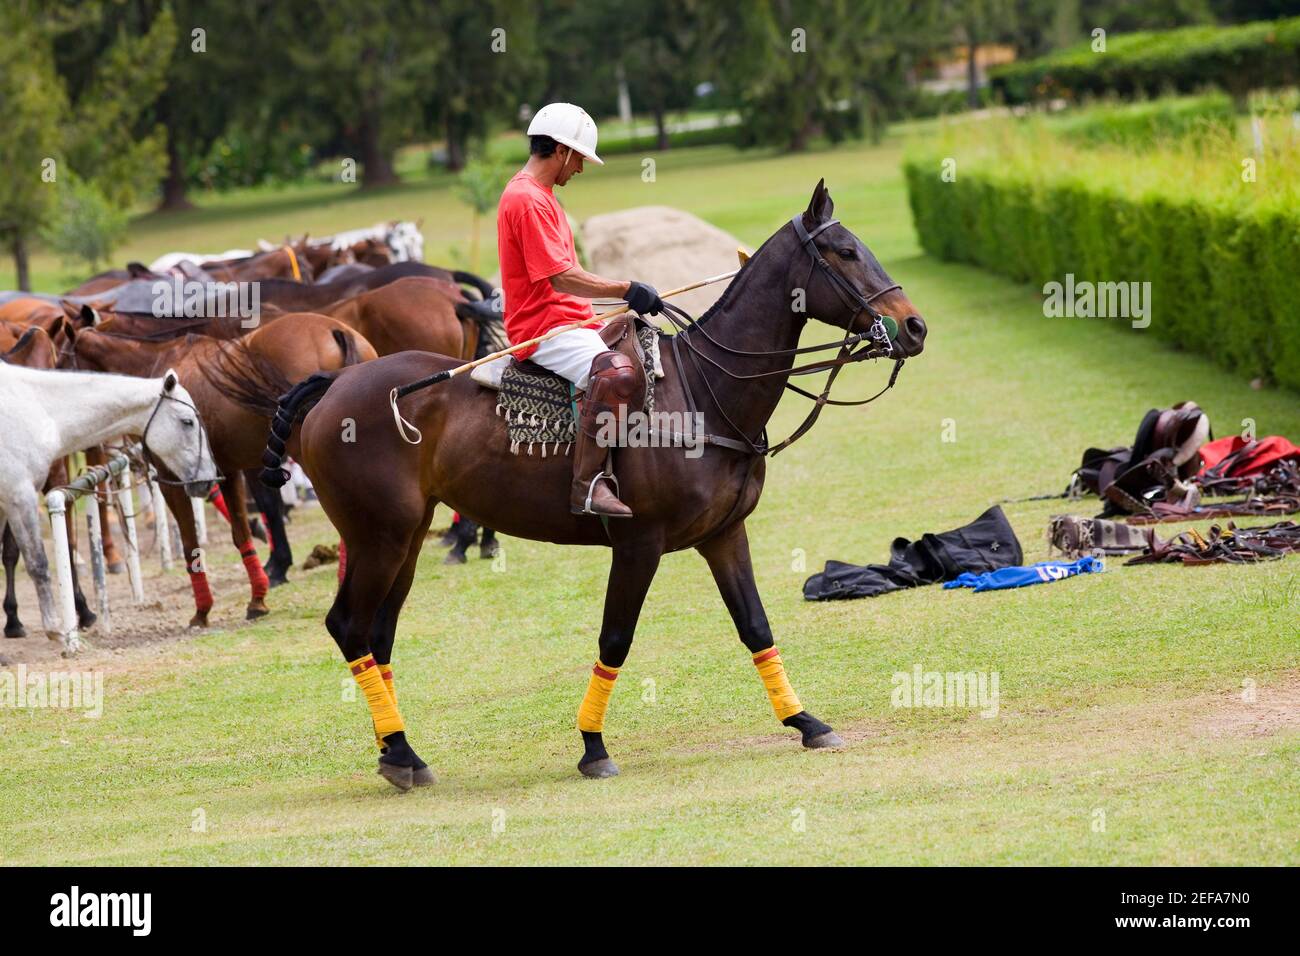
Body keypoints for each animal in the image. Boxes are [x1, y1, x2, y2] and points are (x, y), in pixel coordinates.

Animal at [0, 360, 218, 645]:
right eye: (187, 421)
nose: (209, 478)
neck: (35, 405)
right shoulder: (19, 496)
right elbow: (38, 564)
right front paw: (55, 629)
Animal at [60, 314, 378, 626]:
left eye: (62, 362)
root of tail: (335, 330)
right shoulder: (229, 470)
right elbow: (243, 532)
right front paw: (258, 597)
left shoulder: (174, 479)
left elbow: (191, 542)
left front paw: (203, 610)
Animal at [259, 180, 927, 789]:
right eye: (845, 251)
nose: (915, 327)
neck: (706, 392)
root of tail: (332, 386)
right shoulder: (639, 543)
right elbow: (616, 639)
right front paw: (593, 745)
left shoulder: (725, 534)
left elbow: (756, 627)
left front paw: (808, 722)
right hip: (379, 535)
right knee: (349, 626)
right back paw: (400, 753)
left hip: (407, 533)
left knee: (378, 632)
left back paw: (396, 751)